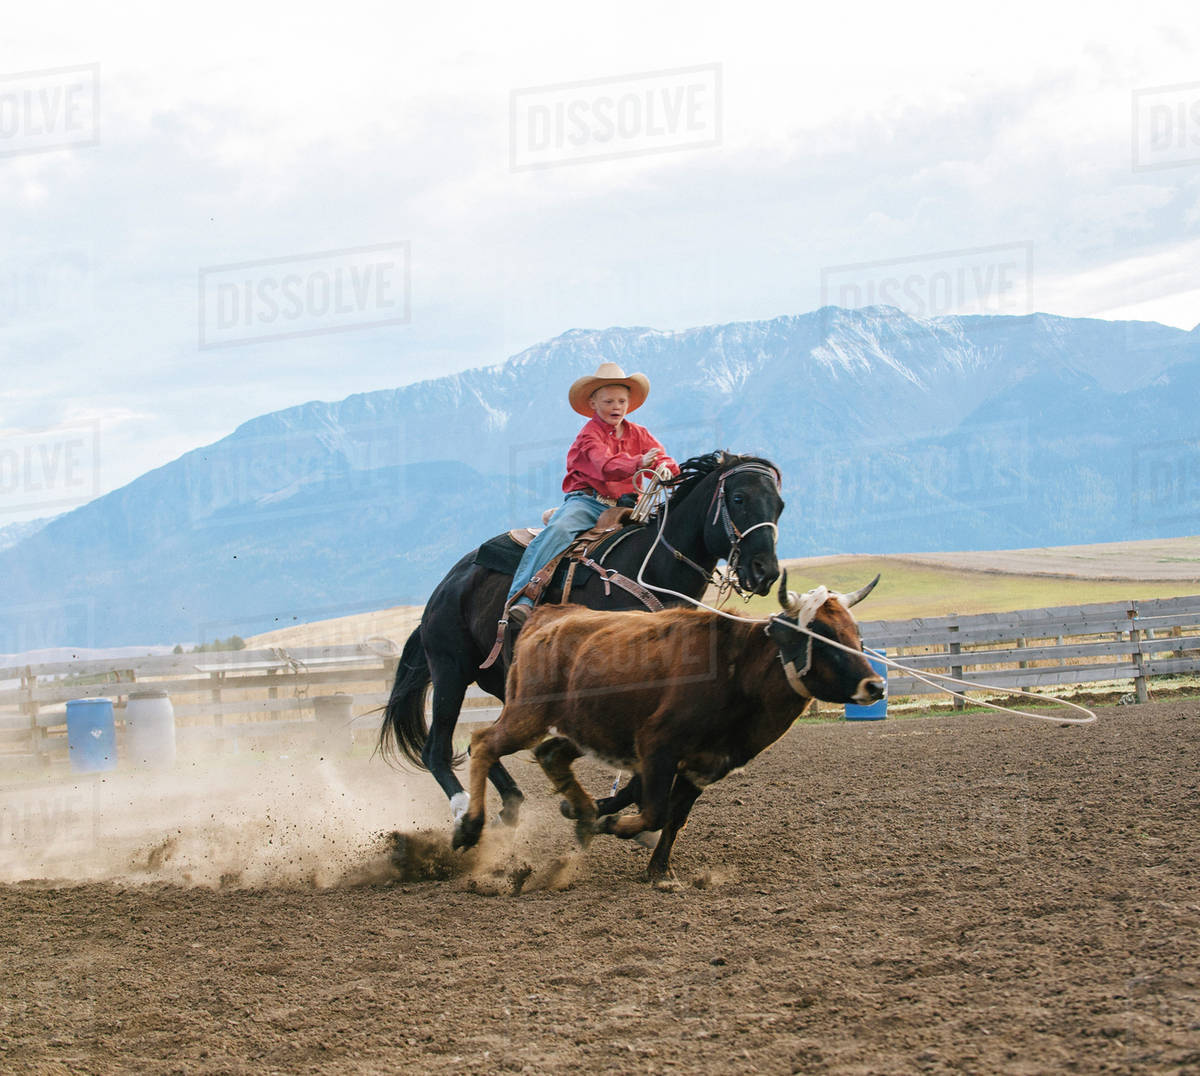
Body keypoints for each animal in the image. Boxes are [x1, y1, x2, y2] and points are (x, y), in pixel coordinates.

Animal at [453, 571, 885, 880]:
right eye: (822, 634)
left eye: (856, 634)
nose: (876, 685)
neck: (738, 666)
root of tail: (549, 616)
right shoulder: (657, 747)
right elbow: (656, 812)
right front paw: (616, 825)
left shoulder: (704, 766)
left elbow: (675, 818)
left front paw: (659, 870)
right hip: (527, 714)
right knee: (484, 744)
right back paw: (471, 827)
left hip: (585, 725)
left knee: (550, 754)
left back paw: (585, 813)